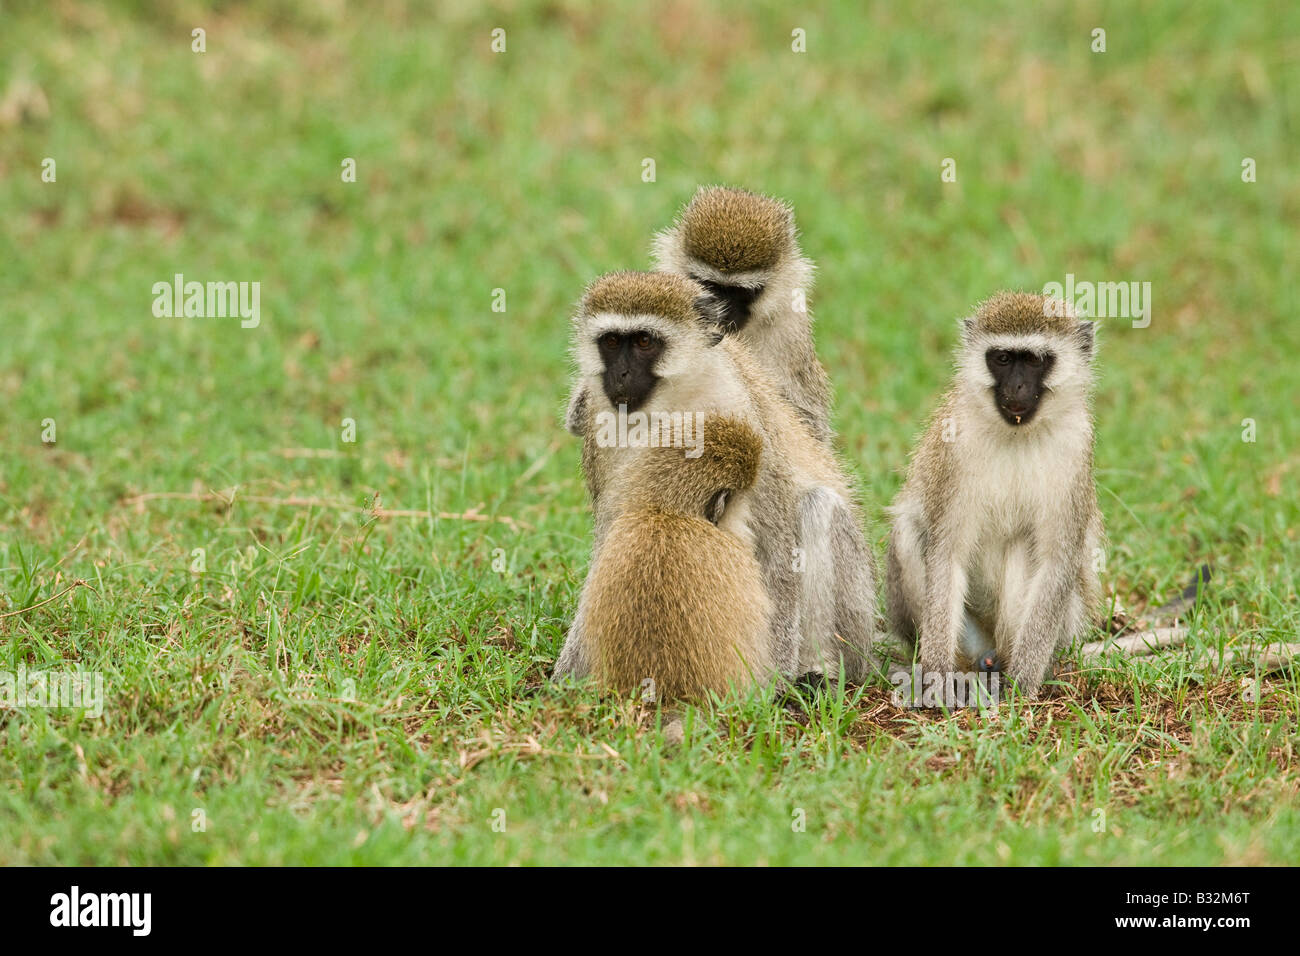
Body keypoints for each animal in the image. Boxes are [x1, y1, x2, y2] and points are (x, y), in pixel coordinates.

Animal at [885, 291, 1103, 700]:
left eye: (1033, 361)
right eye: (1002, 359)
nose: (1015, 388)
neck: (1017, 434)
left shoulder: (1075, 448)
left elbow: (1056, 562)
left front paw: (1023, 684)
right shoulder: (955, 447)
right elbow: (947, 552)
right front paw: (938, 677)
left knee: (1025, 545)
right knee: (909, 531)